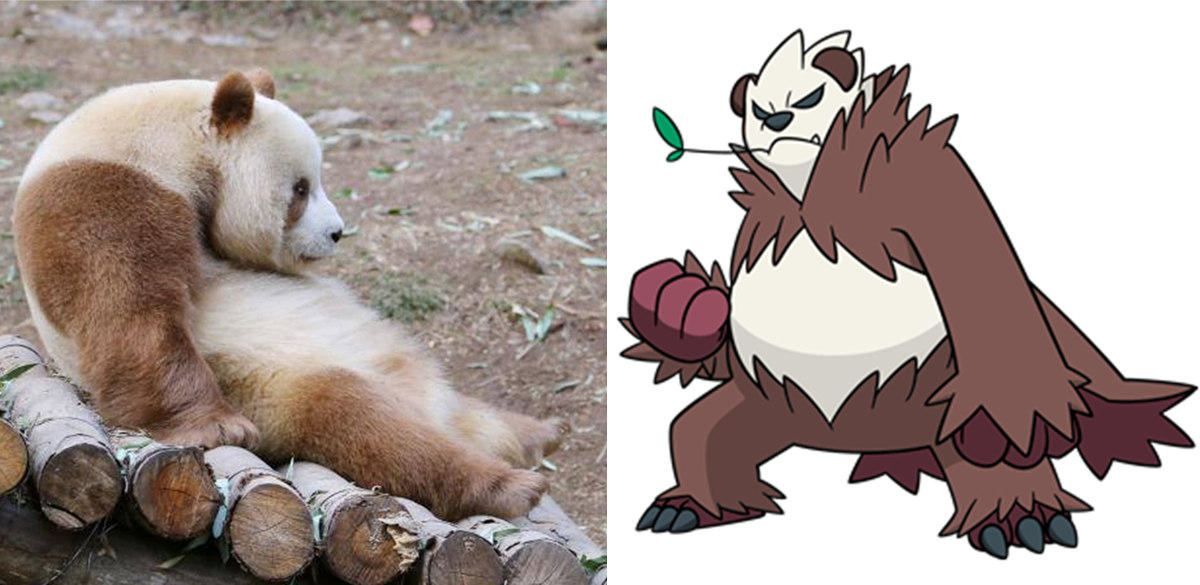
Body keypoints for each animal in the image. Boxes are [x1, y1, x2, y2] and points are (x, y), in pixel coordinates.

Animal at [13, 69, 567, 520]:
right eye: (300, 189)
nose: (337, 232)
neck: (166, 143)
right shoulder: (108, 193)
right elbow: (133, 314)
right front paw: (219, 429)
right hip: (275, 384)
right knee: (368, 424)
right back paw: (509, 485)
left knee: (459, 412)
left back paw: (535, 434)